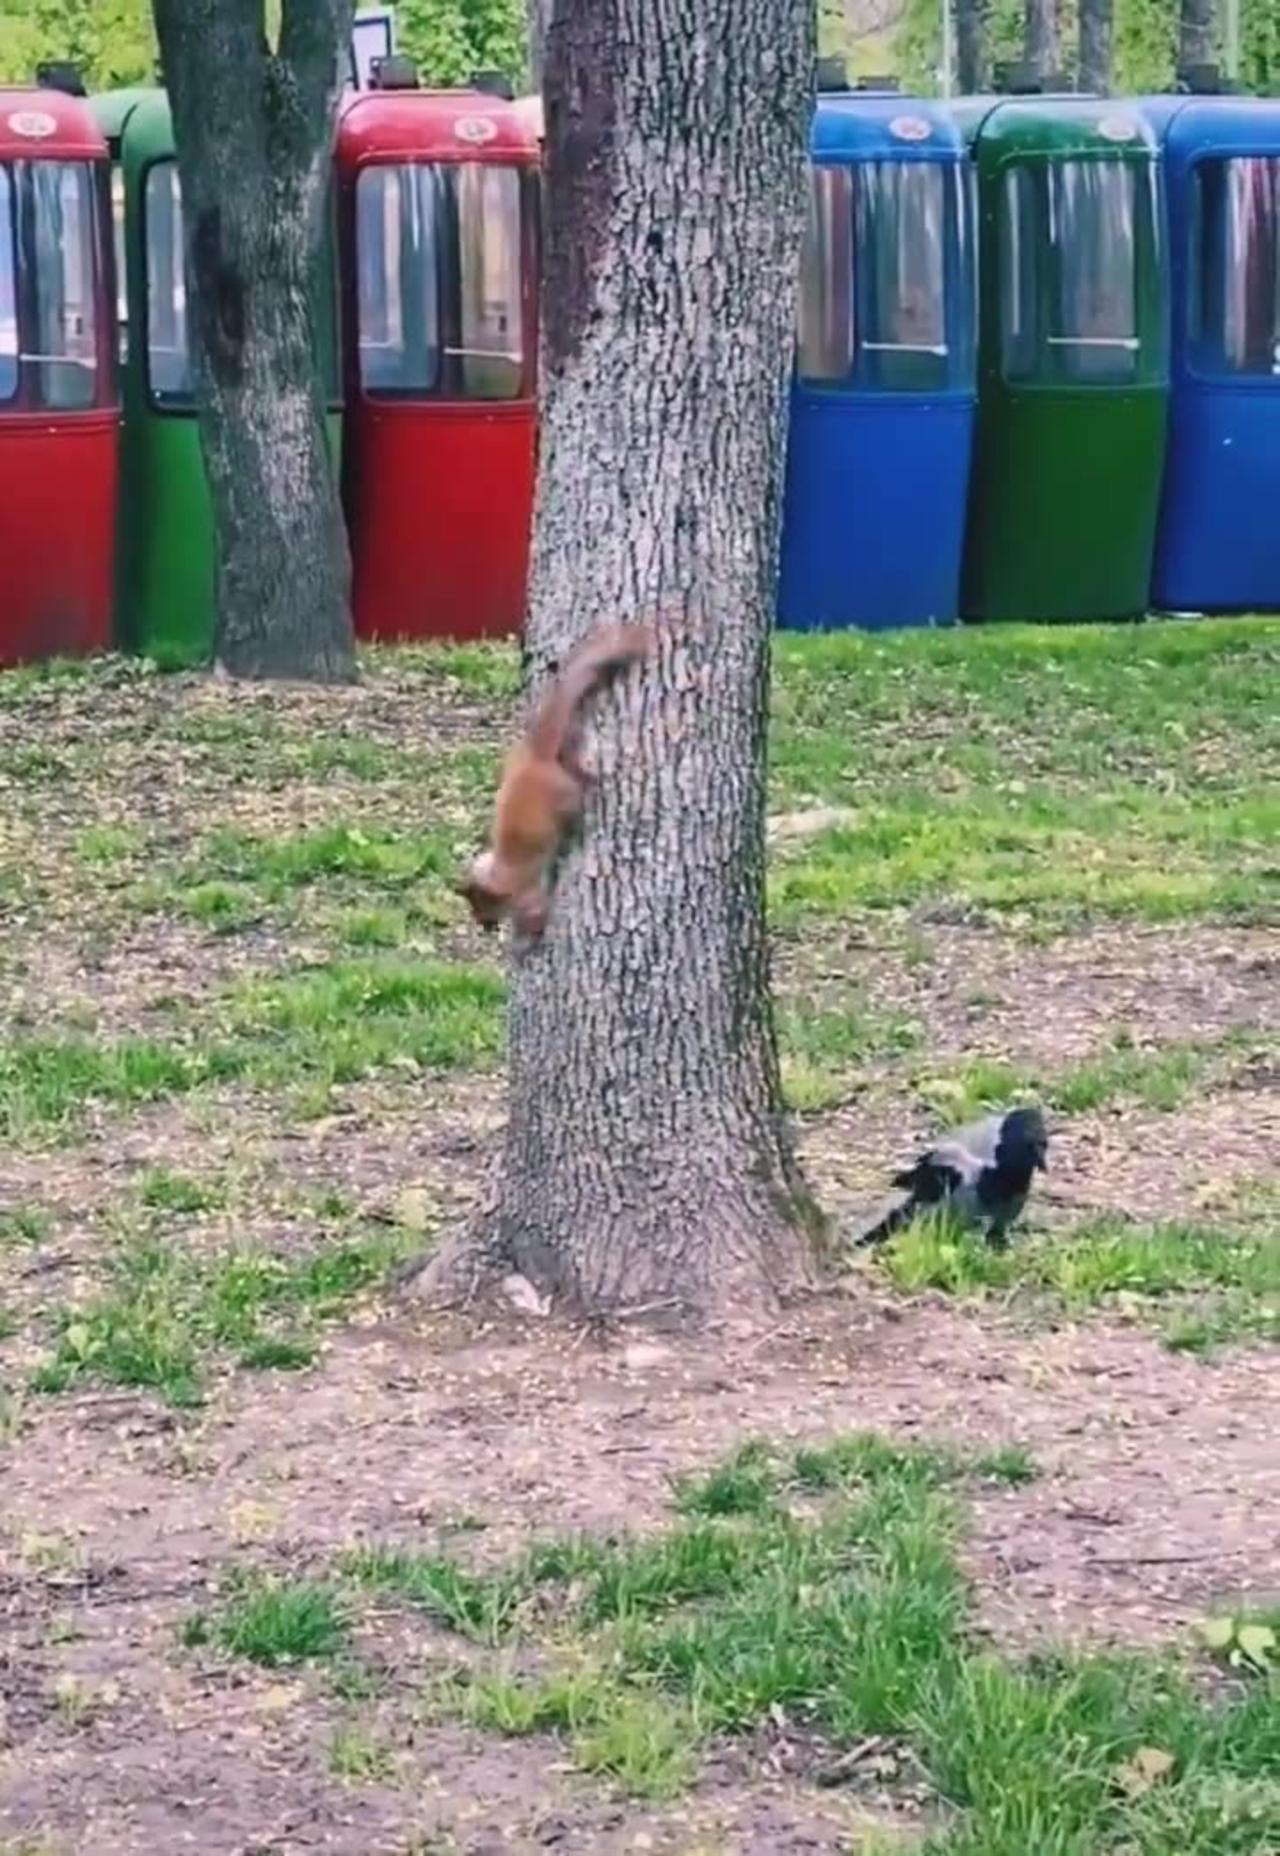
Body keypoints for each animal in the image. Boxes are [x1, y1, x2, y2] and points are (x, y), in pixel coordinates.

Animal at [458, 622, 653, 937]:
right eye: (472, 907)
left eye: (487, 909)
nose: (485, 926)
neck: (503, 871)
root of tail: (538, 757)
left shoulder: (529, 896)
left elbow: (537, 913)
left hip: (566, 797)